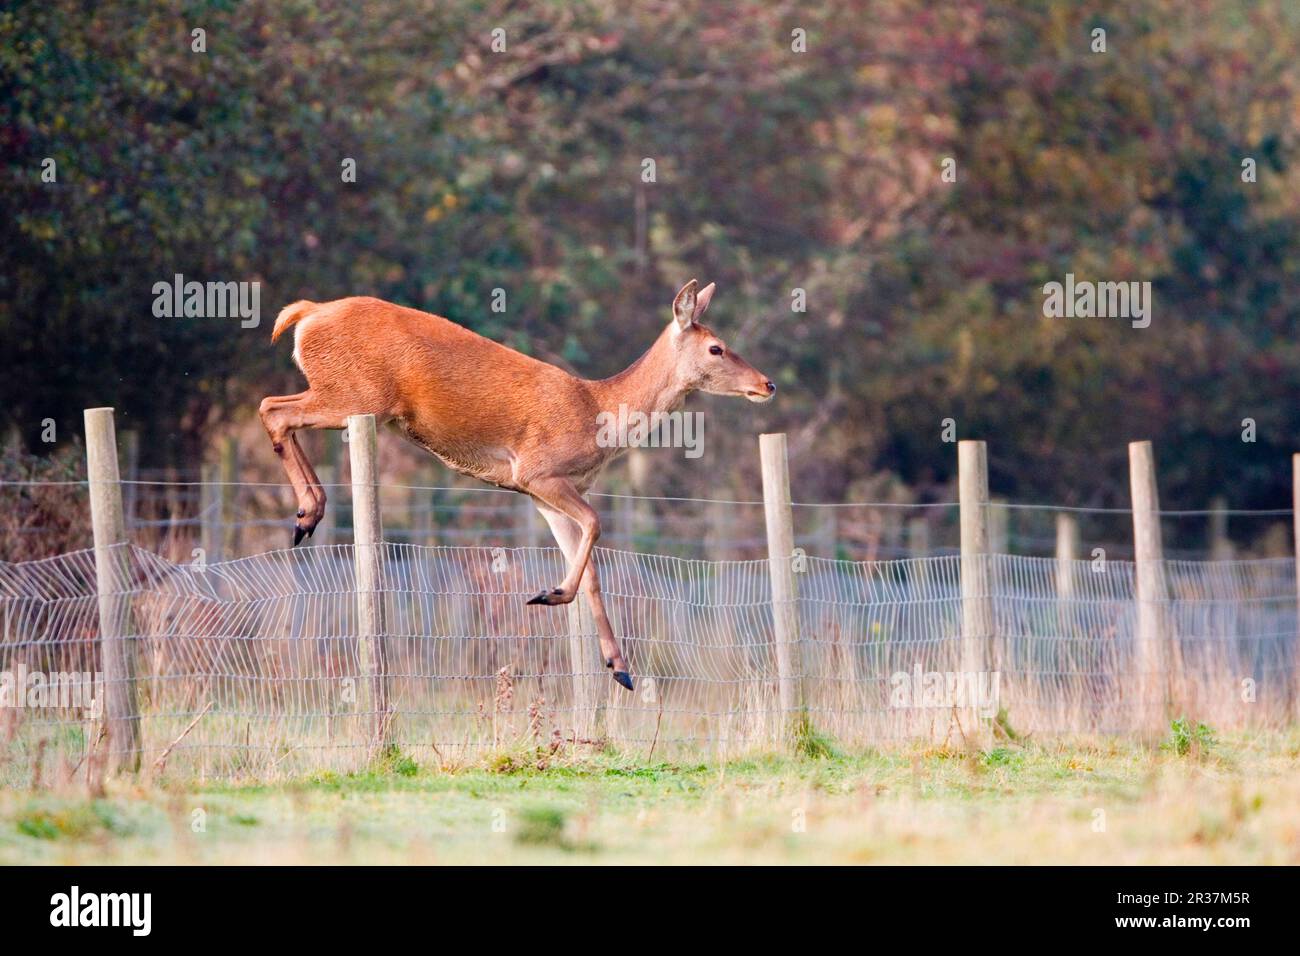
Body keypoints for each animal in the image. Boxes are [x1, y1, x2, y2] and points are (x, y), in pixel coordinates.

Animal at [258, 279, 776, 691]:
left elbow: (591, 568)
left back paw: (308, 513)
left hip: (347, 396)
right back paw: (307, 514)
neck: (598, 412)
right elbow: (596, 524)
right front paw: (551, 594)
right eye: (716, 348)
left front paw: (620, 668)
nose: (767, 384)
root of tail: (306, 315)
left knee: (275, 409)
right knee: (273, 407)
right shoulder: (537, 471)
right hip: (355, 393)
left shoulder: (545, 493)